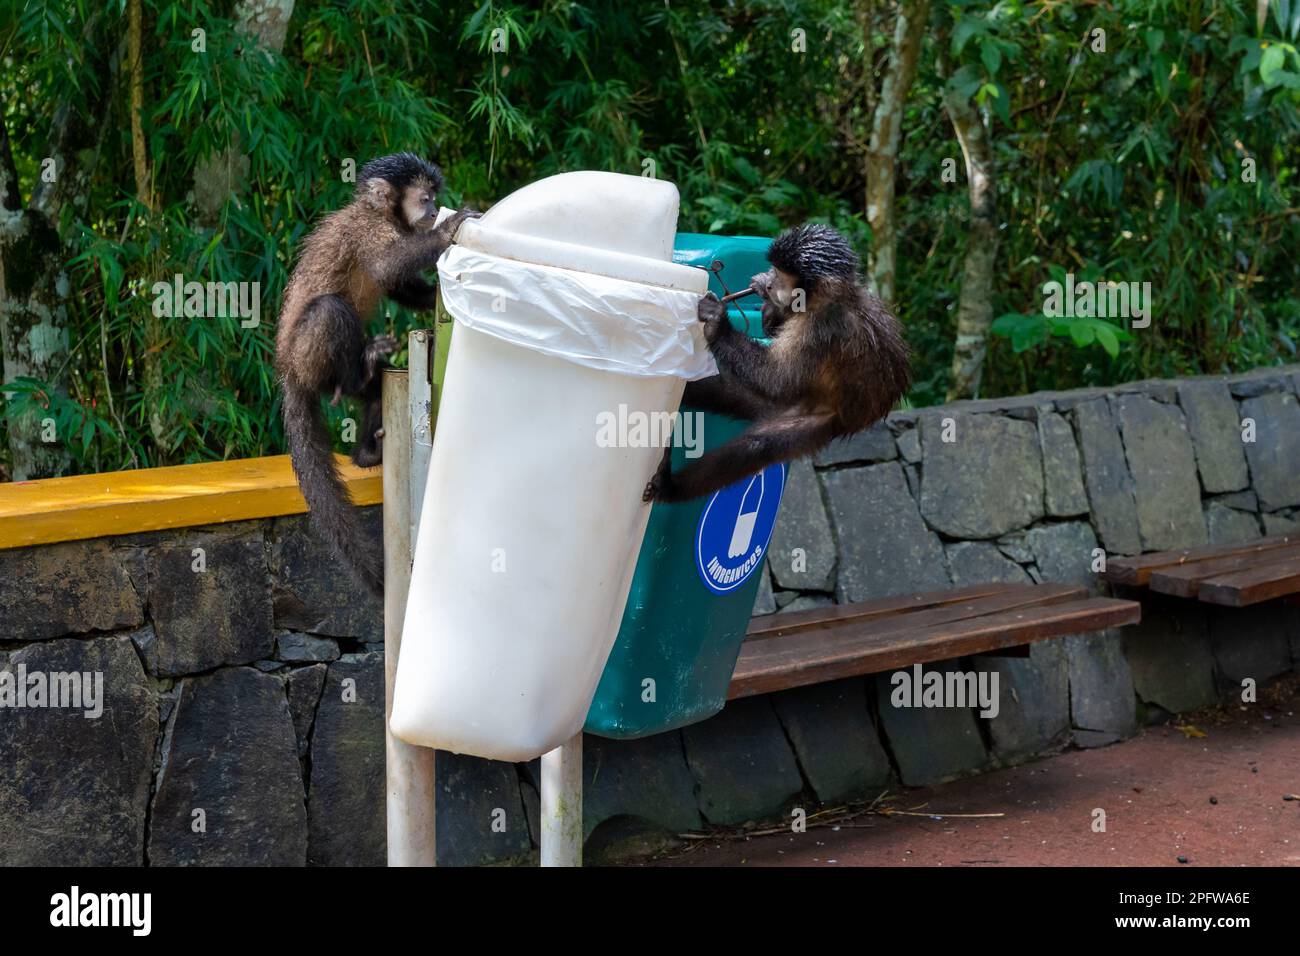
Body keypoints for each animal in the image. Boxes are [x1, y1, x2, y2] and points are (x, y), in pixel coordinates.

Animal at [276, 152, 477, 596]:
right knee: (329, 311)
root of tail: (287, 373)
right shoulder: (367, 229)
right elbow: (385, 268)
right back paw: (353, 372)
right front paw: (448, 231)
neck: (380, 211)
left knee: (371, 391)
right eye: (425, 198)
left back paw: (366, 446)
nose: (434, 211)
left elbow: (396, 283)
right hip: (307, 358)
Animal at [643, 223, 910, 503]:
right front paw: (765, 297)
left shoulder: (823, 326)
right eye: (775, 272)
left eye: (782, 277)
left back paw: (670, 486)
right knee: (717, 389)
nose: (770, 283)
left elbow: (777, 379)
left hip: (818, 422)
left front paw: (717, 322)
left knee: (756, 446)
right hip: (774, 405)